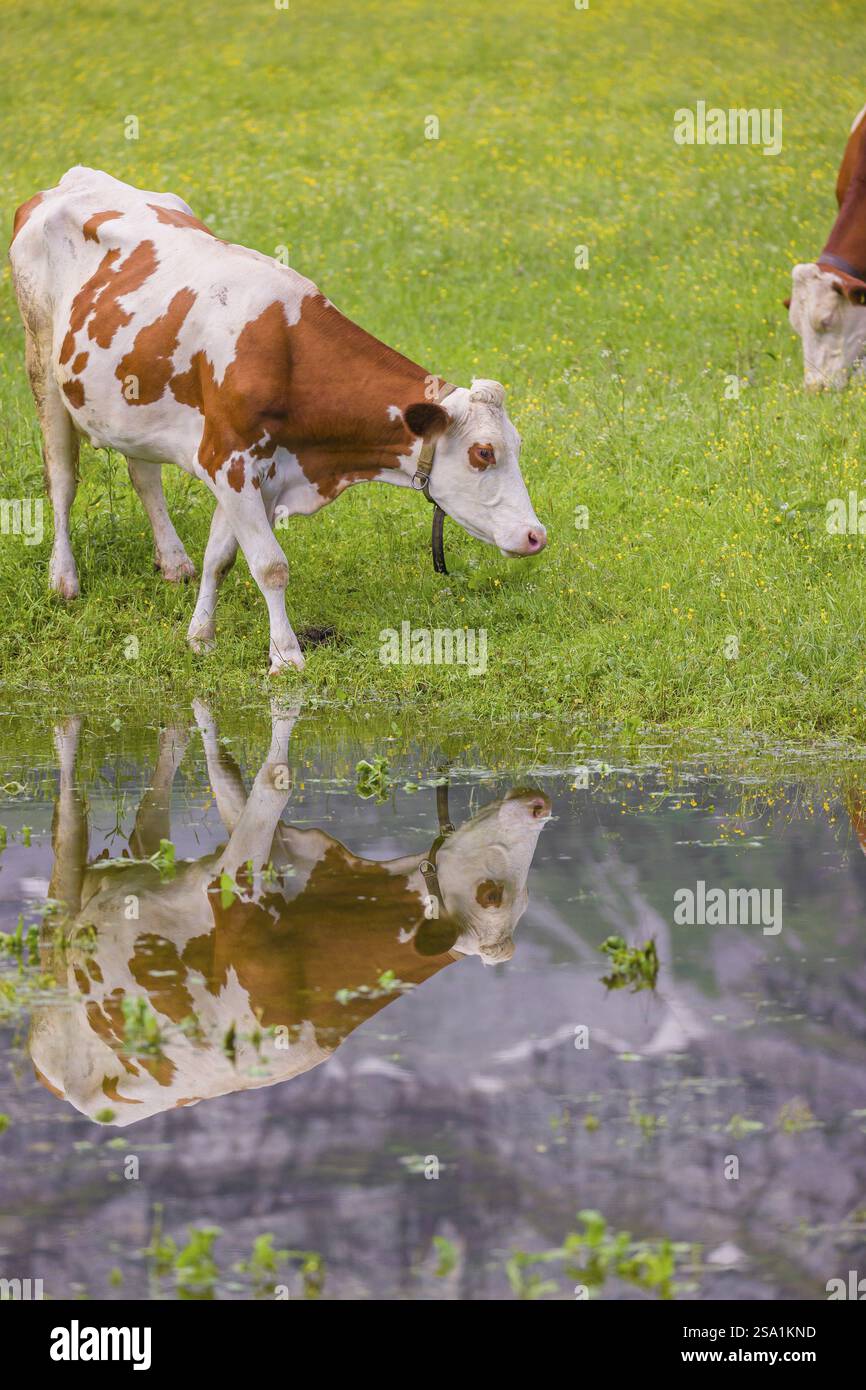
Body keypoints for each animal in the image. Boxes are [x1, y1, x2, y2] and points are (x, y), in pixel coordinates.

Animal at [9, 167, 547, 672]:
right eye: (484, 452)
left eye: (516, 445)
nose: (536, 535)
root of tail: (72, 180)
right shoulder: (228, 461)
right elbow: (269, 565)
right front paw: (285, 656)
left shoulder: (253, 470)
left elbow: (221, 557)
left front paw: (200, 636)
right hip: (41, 367)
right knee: (62, 480)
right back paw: (64, 577)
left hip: (129, 406)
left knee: (143, 473)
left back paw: (173, 561)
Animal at [29, 703, 551, 1125]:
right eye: (491, 894)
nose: (541, 805)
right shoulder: (241, 871)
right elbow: (270, 777)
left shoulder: (267, 853)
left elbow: (240, 776)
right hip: (61, 938)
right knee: (68, 817)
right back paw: (68, 730)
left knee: (142, 822)